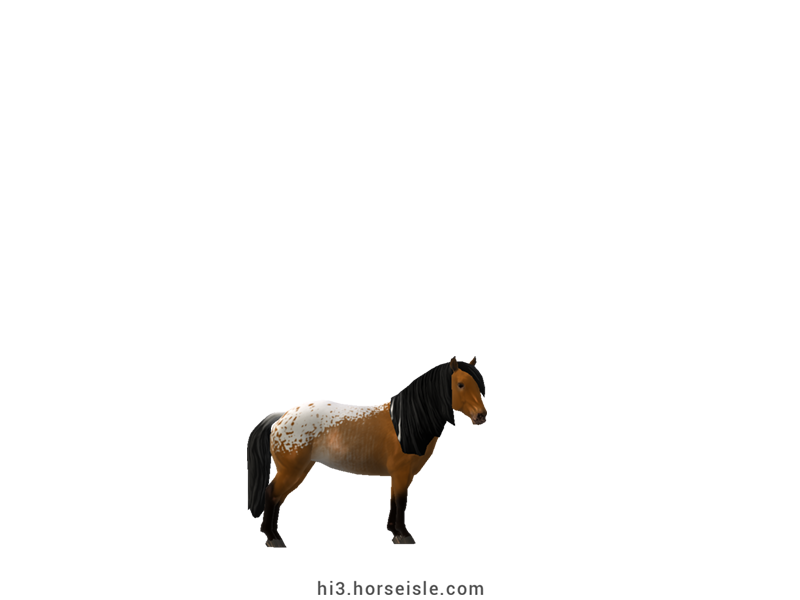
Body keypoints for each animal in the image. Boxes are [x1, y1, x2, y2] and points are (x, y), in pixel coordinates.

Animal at [247, 356, 487, 540]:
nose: (482, 414)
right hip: (289, 471)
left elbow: (394, 499)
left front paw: (393, 530)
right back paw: (271, 535)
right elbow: (401, 500)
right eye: (461, 384)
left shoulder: (398, 474)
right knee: (271, 494)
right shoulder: (401, 472)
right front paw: (404, 532)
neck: (403, 424)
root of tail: (281, 418)